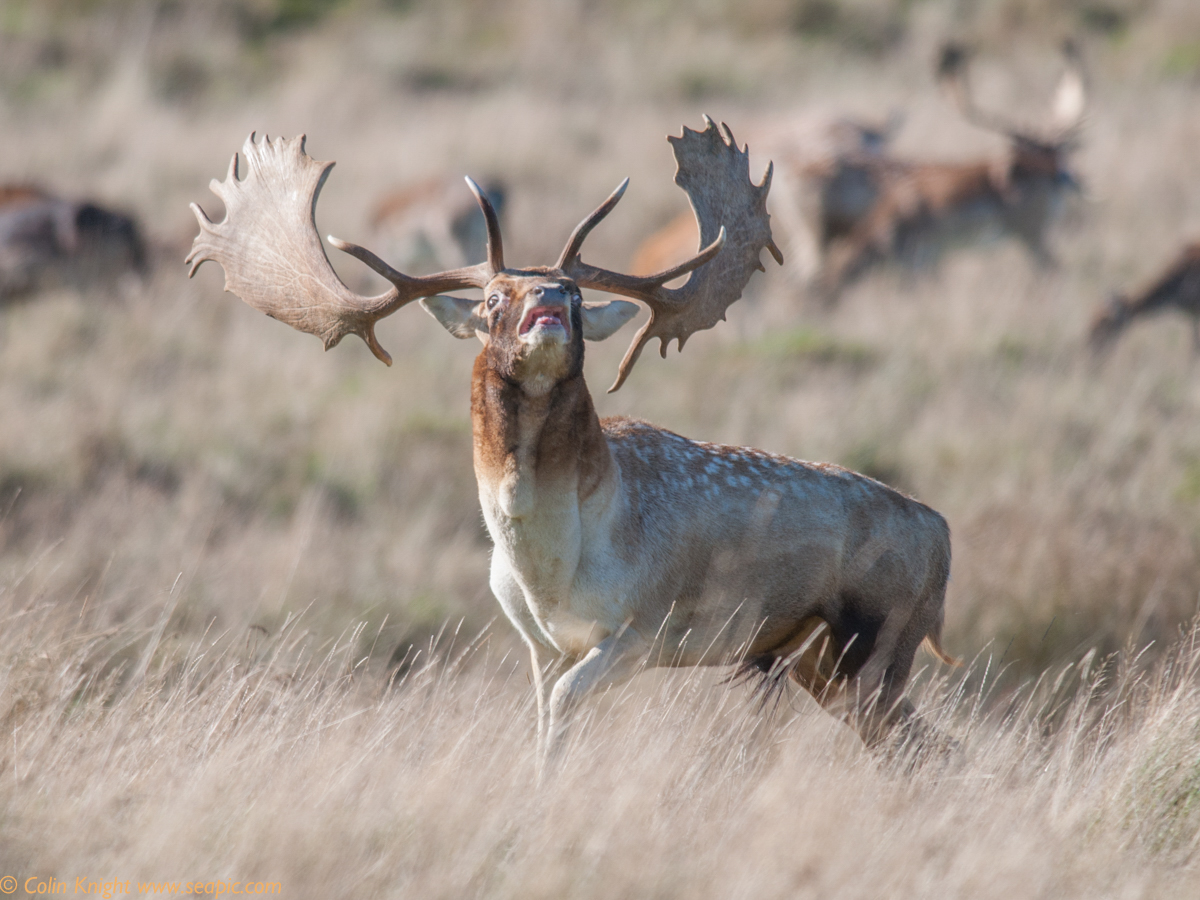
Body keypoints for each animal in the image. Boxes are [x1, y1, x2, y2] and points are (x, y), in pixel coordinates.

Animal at [187, 121, 957, 763]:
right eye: (493, 298)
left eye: (581, 297)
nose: (551, 298)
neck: (550, 565)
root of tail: (944, 535)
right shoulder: (540, 645)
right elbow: (543, 726)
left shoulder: (641, 629)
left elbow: (560, 714)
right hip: (823, 662)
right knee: (925, 745)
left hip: (877, 644)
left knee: (925, 744)